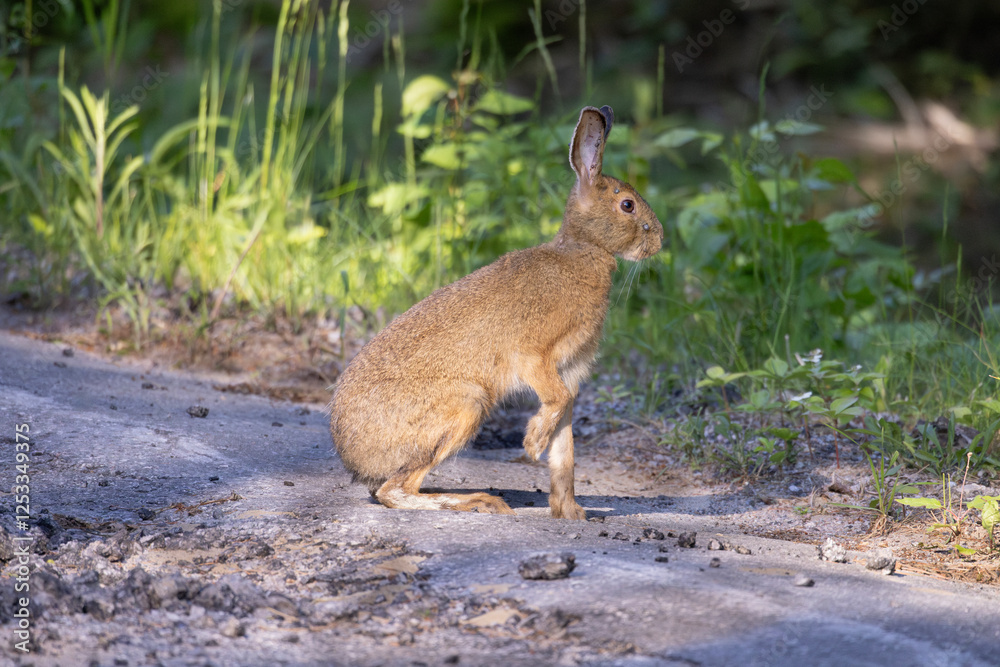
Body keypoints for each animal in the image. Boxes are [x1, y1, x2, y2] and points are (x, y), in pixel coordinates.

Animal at [329, 105, 662, 519]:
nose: (659, 239)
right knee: (395, 490)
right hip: (466, 404)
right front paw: (532, 444)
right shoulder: (533, 356)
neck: (584, 251)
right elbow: (555, 405)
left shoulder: (568, 373)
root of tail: (355, 459)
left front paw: (570, 512)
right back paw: (480, 502)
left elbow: (565, 449)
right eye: (627, 205)